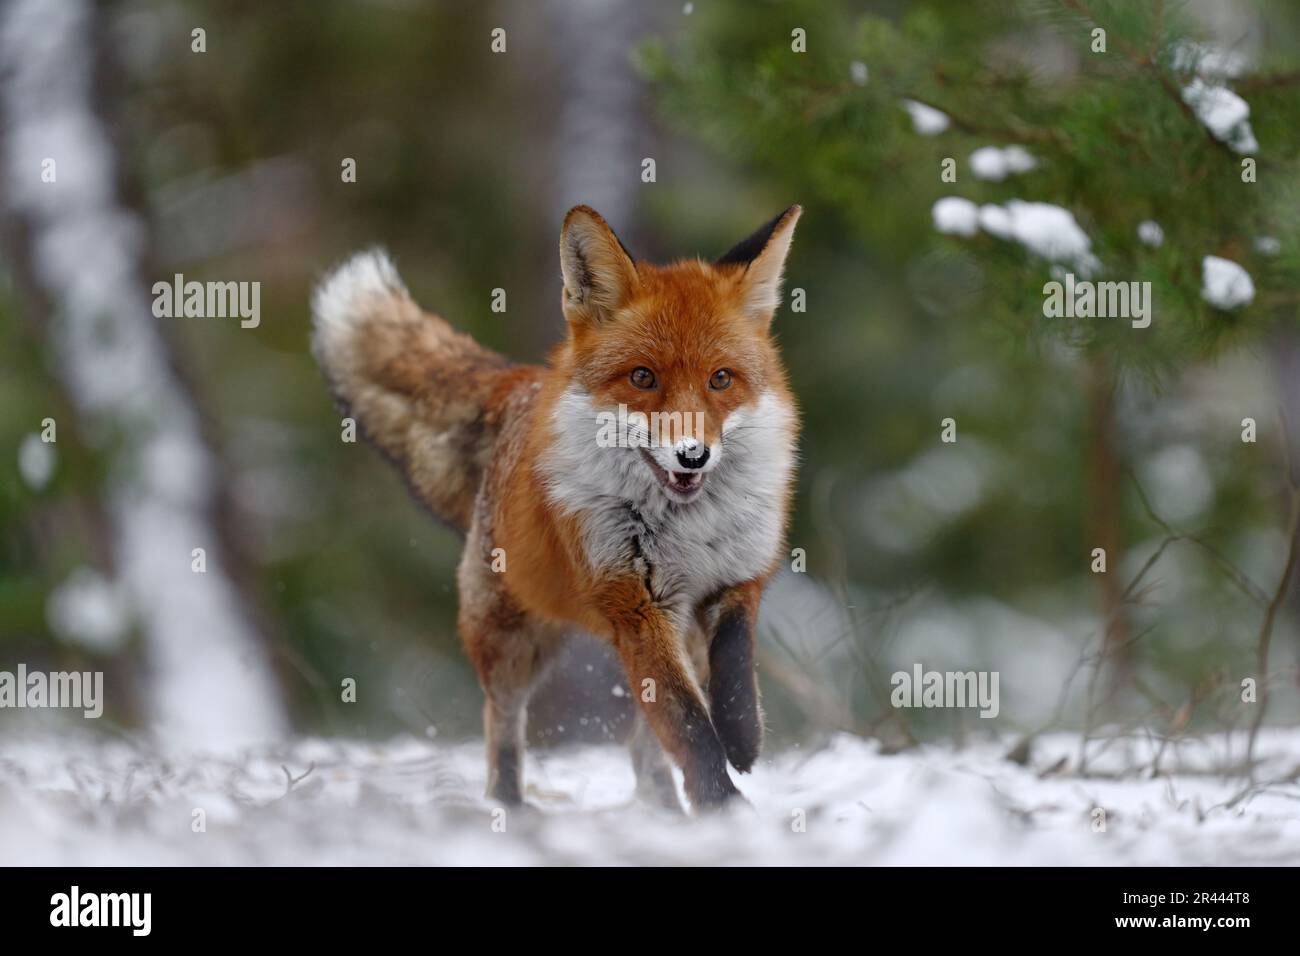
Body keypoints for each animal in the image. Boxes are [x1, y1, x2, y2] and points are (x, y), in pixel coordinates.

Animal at [311, 204, 801, 811]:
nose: (693, 454)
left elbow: (733, 664)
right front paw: (725, 808)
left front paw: (743, 739)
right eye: (643, 377)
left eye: (721, 379)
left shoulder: (740, 575)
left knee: (642, 747)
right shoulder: (636, 605)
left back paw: (663, 810)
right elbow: (688, 725)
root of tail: (530, 381)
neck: (688, 527)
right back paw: (510, 808)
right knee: (504, 725)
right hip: (511, 640)